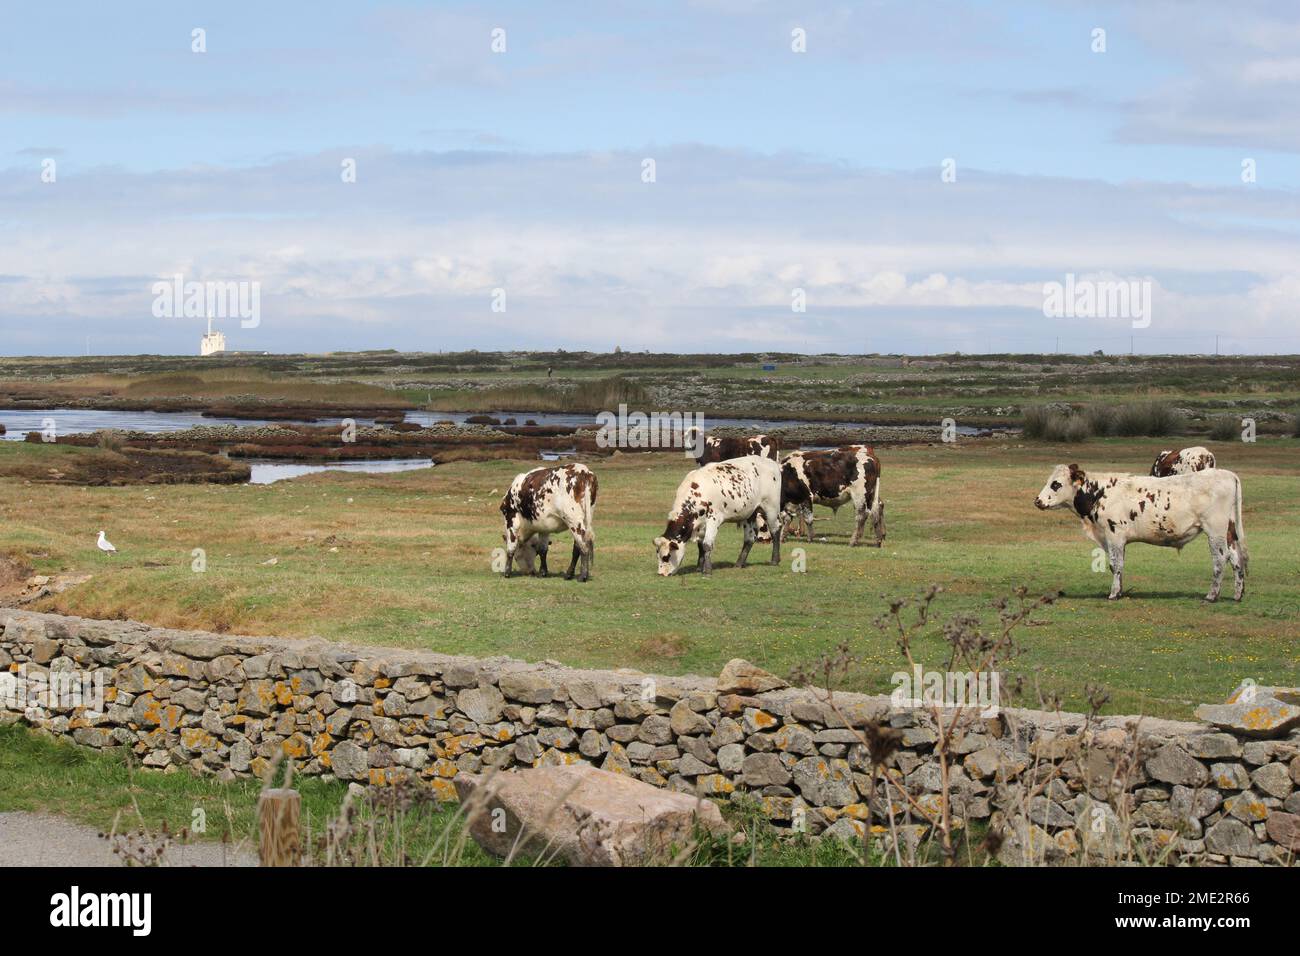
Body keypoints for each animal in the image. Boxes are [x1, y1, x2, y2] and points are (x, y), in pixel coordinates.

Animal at [653, 456, 782, 576]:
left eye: (666, 557)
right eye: (657, 555)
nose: (661, 574)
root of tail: (770, 462)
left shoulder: (713, 519)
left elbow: (707, 545)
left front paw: (707, 570)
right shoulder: (701, 525)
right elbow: (700, 545)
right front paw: (699, 567)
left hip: (771, 507)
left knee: (775, 530)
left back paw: (774, 560)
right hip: (749, 513)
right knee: (750, 538)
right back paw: (739, 563)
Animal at [1034, 463, 1246, 601]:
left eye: (1056, 484)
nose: (1037, 501)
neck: (1100, 493)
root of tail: (1227, 474)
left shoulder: (1114, 535)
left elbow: (1115, 564)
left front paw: (1114, 594)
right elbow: (1119, 565)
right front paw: (1120, 591)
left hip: (1215, 531)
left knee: (1220, 559)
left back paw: (1212, 595)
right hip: (1229, 531)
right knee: (1236, 558)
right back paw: (1237, 594)